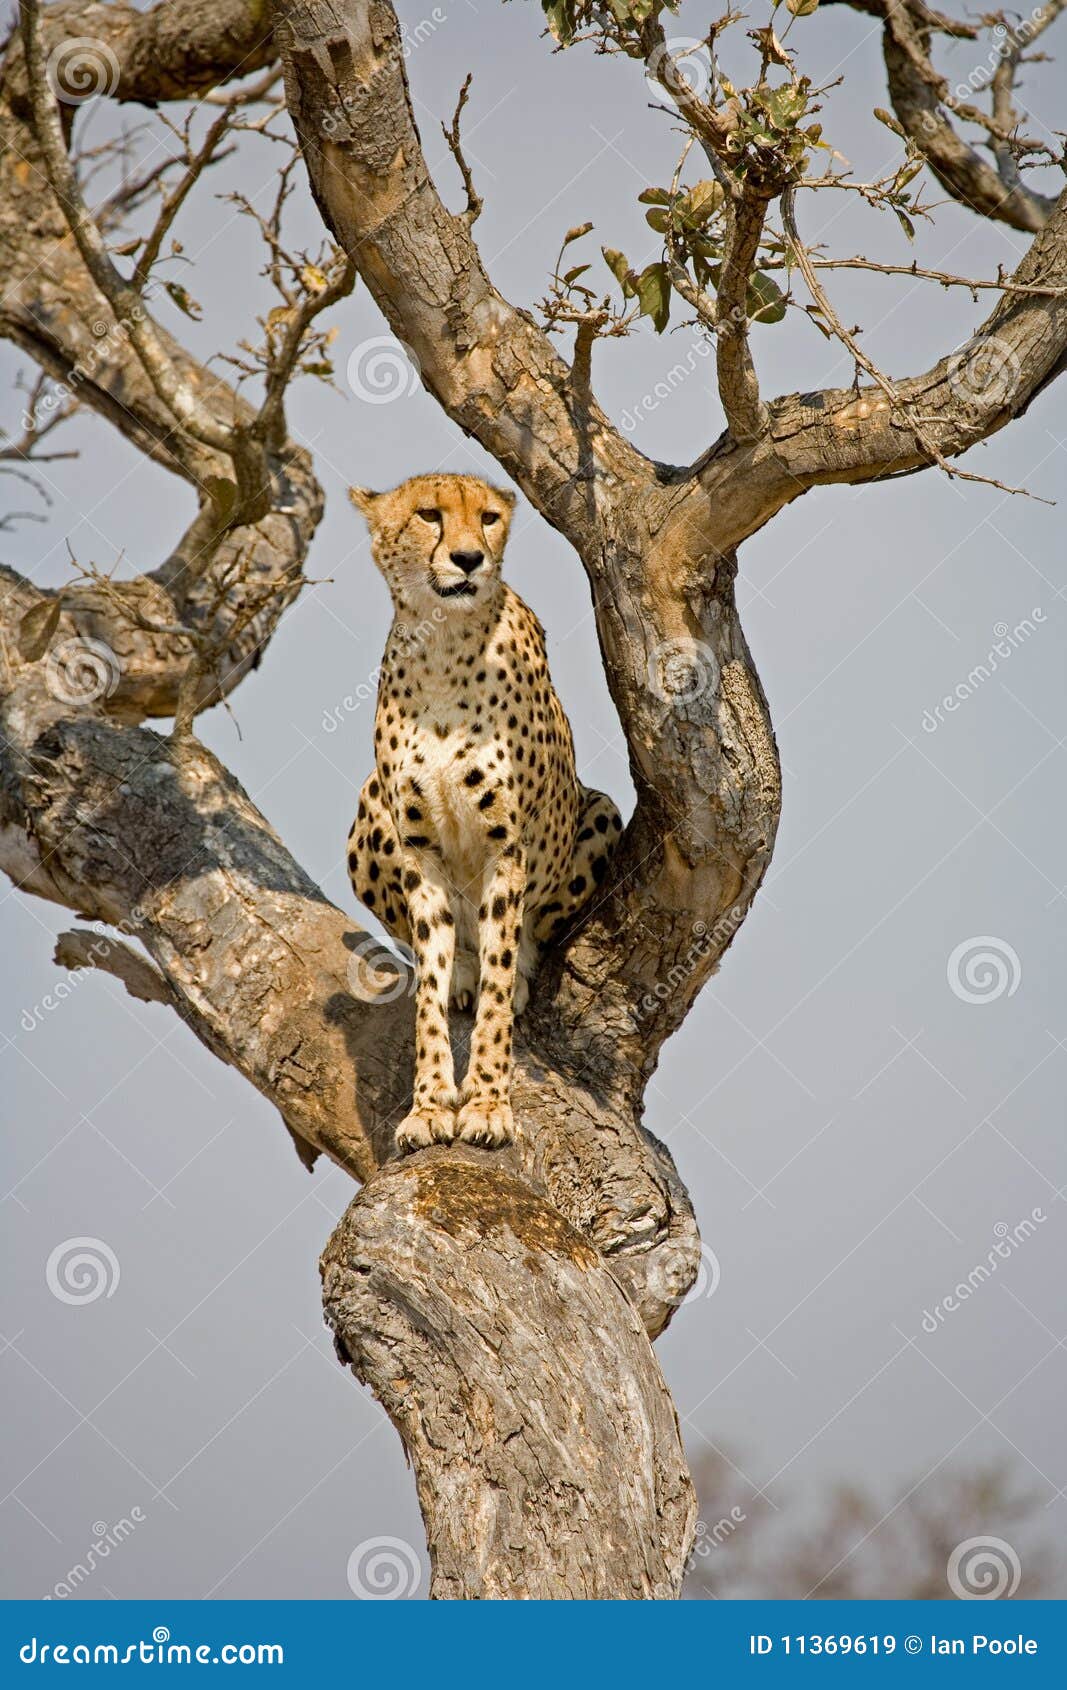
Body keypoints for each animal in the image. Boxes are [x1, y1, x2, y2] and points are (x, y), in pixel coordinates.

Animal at [346, 473, 622, 1155]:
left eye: (490, 517)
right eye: (428, 515)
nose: (469, 558)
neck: (444, 646)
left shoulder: (507, 850)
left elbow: (499, 986)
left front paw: (490, 1103)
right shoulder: (419, 855)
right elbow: (428, 992)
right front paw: (427, 1104)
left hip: (600, 810)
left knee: (522, 940)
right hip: (369, 808)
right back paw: (462, 973)